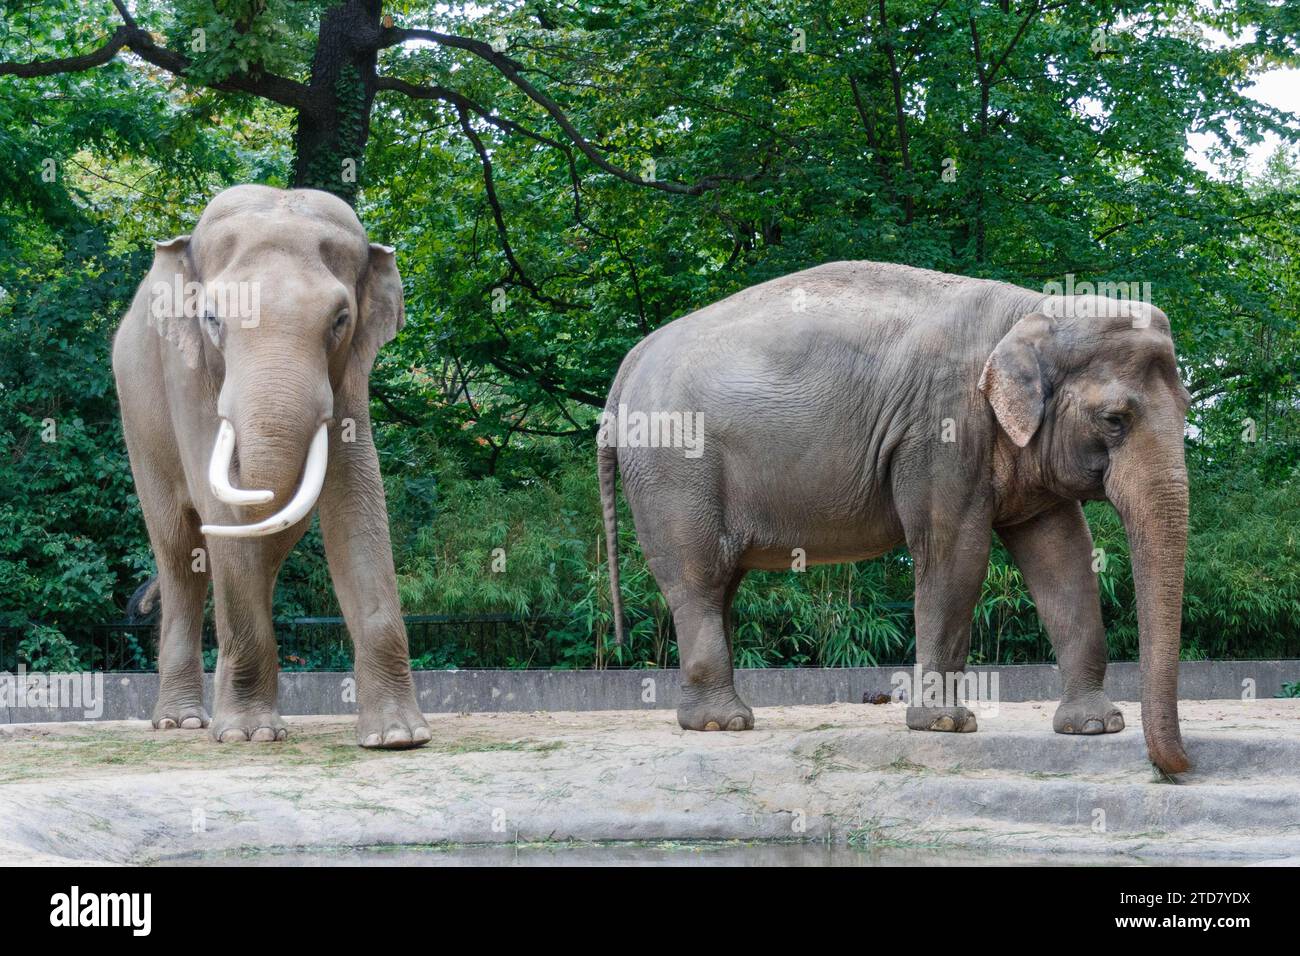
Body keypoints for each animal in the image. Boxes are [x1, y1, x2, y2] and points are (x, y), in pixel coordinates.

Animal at [112, 184, 430, 748]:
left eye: (340, 320)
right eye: (212, 318)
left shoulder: (351, 373)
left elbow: (357, 500)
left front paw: (398, 737)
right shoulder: (185, 372)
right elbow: (222, 509)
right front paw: (248, 735)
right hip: (138, 421)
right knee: (179, 551)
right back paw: (181, 721)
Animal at [598, 260, 1192, 774]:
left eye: (1188, 409)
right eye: (1114, 419)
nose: (1176, 767)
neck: (1032, 311)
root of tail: (628, 363)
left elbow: (1064, 556)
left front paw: (1094, 727)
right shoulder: (940, 429)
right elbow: (955, 553)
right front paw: (946, 725)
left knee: (722, 583)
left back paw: (714, 719)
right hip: (675, 472)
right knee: (697, 577)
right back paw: (722, 724)